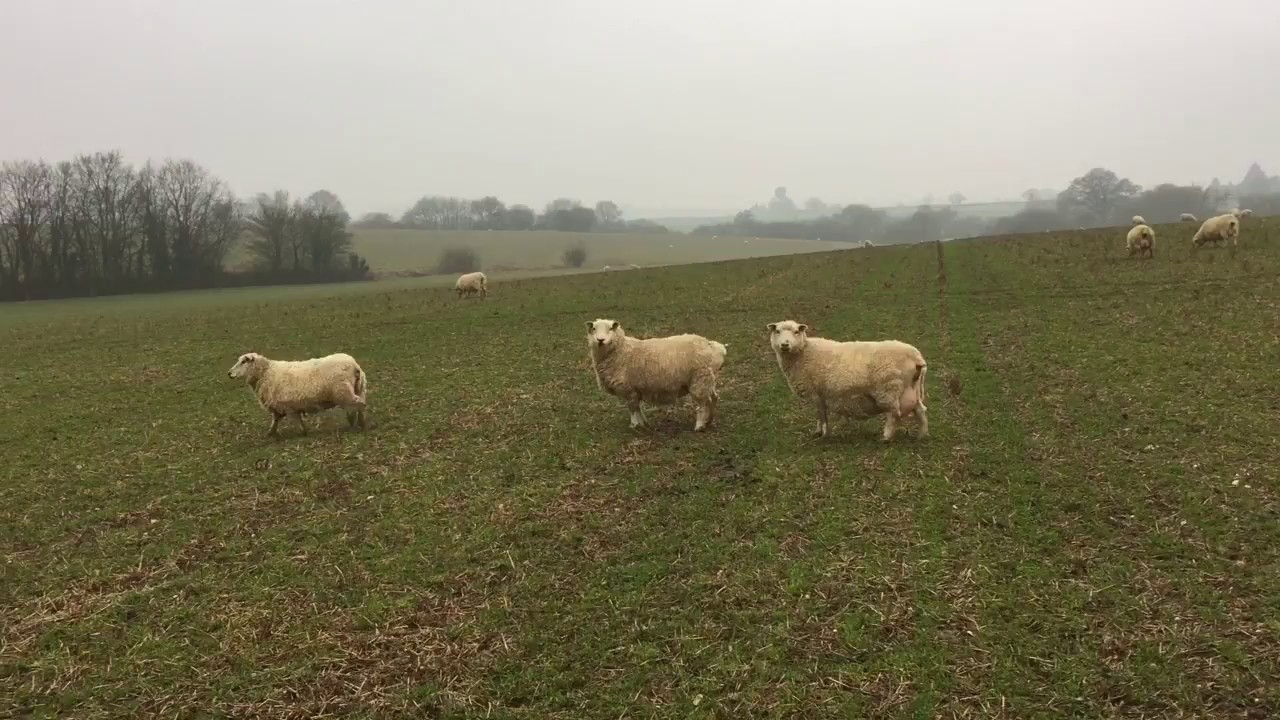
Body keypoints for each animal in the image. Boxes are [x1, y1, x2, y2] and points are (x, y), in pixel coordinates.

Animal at [228, 352, 368, 436]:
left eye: (243, 362)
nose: (229, 373)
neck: (266, 373)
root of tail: (354, 365)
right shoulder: (280, 407)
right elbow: (275, 420)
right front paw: (270, 433)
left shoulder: (289, 407)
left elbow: (296, 421)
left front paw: (303, 432)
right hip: (358, 389)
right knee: (359, 404)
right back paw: (358, 424)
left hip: (344, 392)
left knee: (359, 404)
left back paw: (358, 425)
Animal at [586, 318, 727, 432]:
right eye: (593, 329)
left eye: (610, 328)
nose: (600, 340)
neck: (620, 351)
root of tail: (713, 346)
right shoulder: (635, 390)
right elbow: (637, 408)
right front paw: (643, 423)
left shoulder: (629, 388)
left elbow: (632, 408)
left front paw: (634, 425)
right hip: (708, 379)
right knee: (714, 398)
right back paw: (709, 421)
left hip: (699, 379)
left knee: (704, 403)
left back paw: (699, 425)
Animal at [767, 320, 927, 442]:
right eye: (777, 331)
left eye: (796, 332)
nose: (785, 345)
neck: (804, 352)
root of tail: (917, 358)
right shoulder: (820, 395)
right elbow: (820, 415)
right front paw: (818, 432)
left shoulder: (817, 393)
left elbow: (822, 415)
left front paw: (824, 435)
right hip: (912, 390)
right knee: (920, 411)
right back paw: (922, 435)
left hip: (888, 389)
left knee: (894, 415)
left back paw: (886, 438)